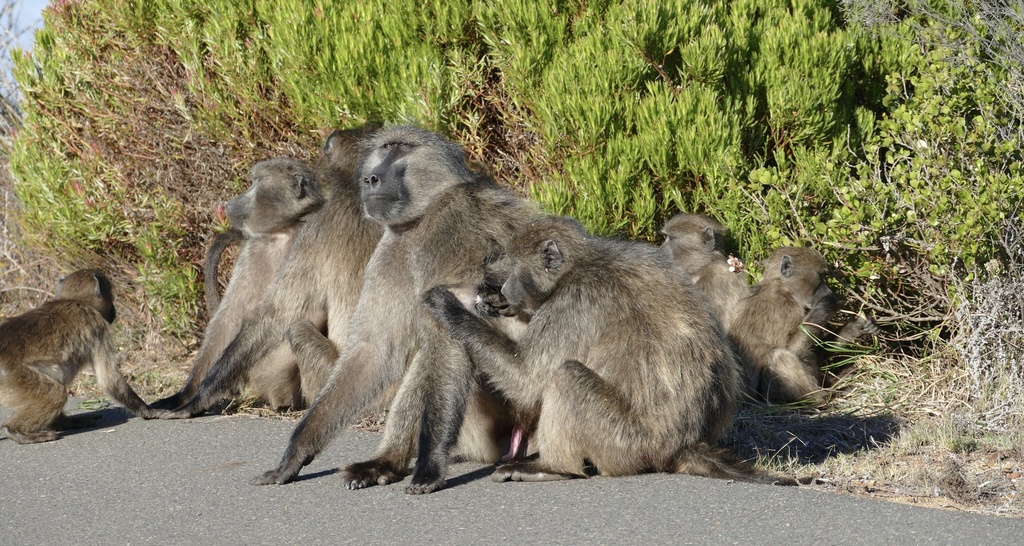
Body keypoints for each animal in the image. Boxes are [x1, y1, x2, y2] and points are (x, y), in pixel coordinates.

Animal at [0, 269, 157, 443]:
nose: (114, 310)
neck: (72, 300)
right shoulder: (98, 326)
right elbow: (109, 380)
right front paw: (150, 412)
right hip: (14, 376)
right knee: (56, 394)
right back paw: (15, 431)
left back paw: (67, 423)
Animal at [150, 125, 384, 413]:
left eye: (255, 183)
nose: (230, 204)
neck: (286, 231)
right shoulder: (254, 249)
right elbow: (230, 317)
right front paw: (185, 395)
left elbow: (275, 314)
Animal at [250, 125, 540, 495]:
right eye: (383, 148)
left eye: (401, 148)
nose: (370, 178)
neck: (426, 213)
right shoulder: (392, 248)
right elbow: (374, 350)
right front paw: (294, 455)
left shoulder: (451, 235)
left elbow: (449, 337)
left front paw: (429, 469)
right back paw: (385, 464)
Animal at [423, 215, 748, 482]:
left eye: (514, 266)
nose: (503, 289)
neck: (580, 263)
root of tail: (681, 447)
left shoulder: (573, 302)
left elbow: (526, 379)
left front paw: (449, 308)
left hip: (623, 444)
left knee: (566, 376)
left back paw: (552, 469)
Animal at [727, 246, 880, 404]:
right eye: (820, 275)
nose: (828, 291)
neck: (782, 288)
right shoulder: (786, 310)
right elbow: (793, 349)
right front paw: (828, 304)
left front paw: (855, 328)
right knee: (779, 355)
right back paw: (829, 395)